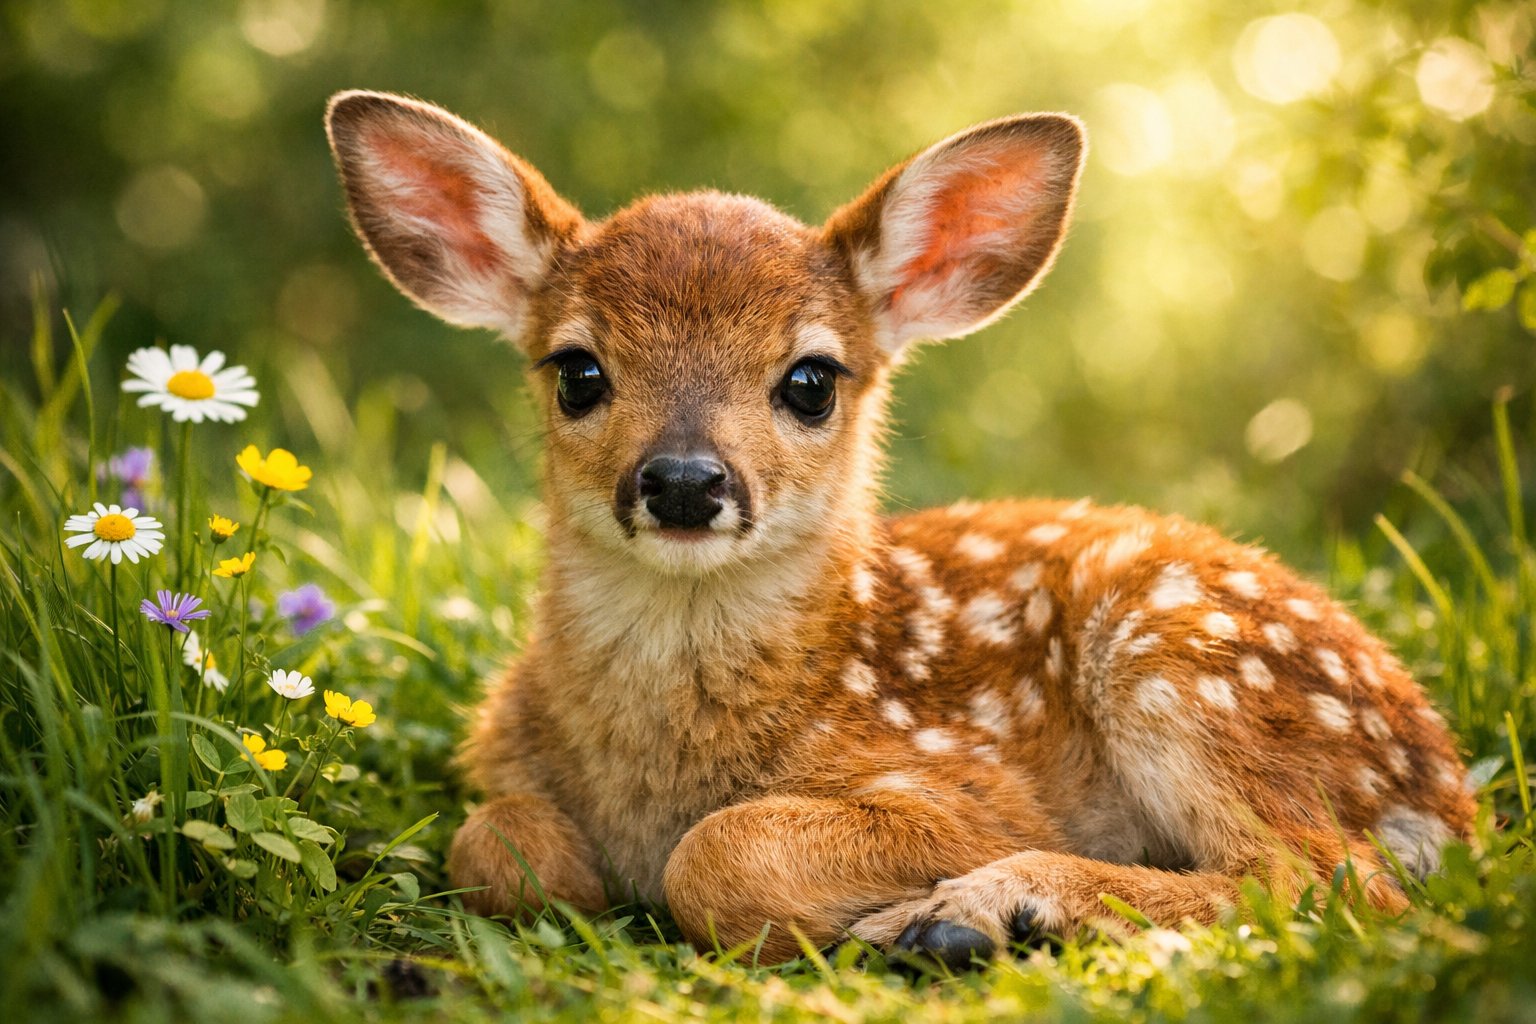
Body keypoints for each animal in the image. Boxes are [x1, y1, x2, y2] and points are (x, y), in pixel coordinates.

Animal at [325, 90, 1476, 967]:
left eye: (810, 380)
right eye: (577, 371)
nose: (686, 481)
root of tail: (1445, 786)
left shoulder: (964, 787)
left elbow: (718, 852)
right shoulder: (502, 767)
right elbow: (491, 846)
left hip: (1183, 657)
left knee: (1331, 879)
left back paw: (974, 914)